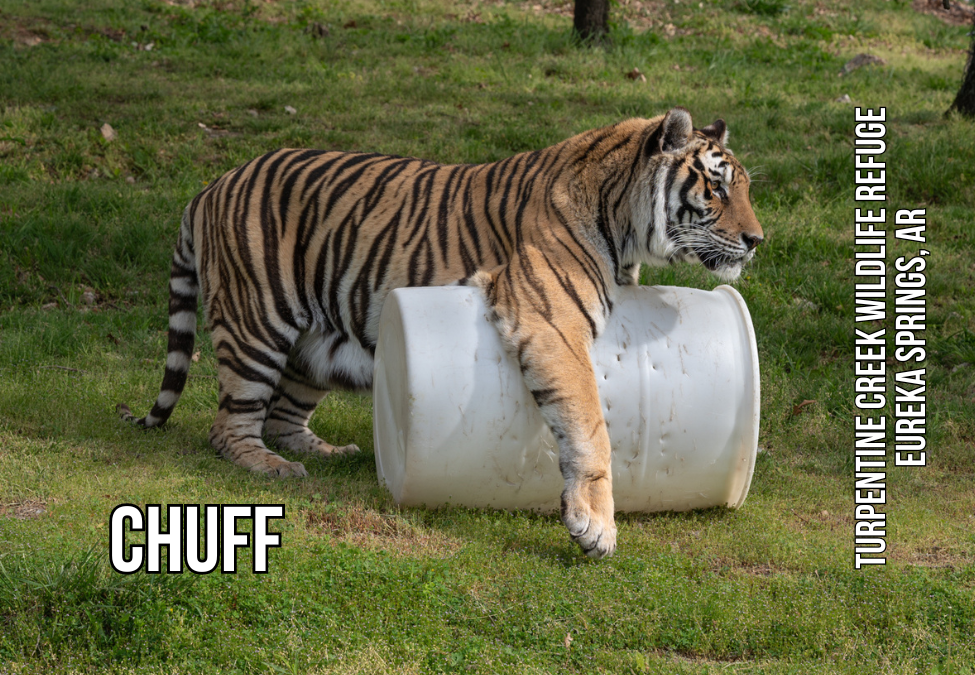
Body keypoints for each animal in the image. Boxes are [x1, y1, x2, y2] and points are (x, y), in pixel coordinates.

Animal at [118, 106, 763, 559]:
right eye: (717, 188)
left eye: (746, 188)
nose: (758, 240)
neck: (624, 223)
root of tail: (213, 183)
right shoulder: (551, 323)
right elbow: (588, 426)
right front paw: (596, 527)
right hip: (258, 324)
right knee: (230, 425)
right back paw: (268, 465)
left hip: (318, 345)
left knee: (283, 415)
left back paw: (321, 450)